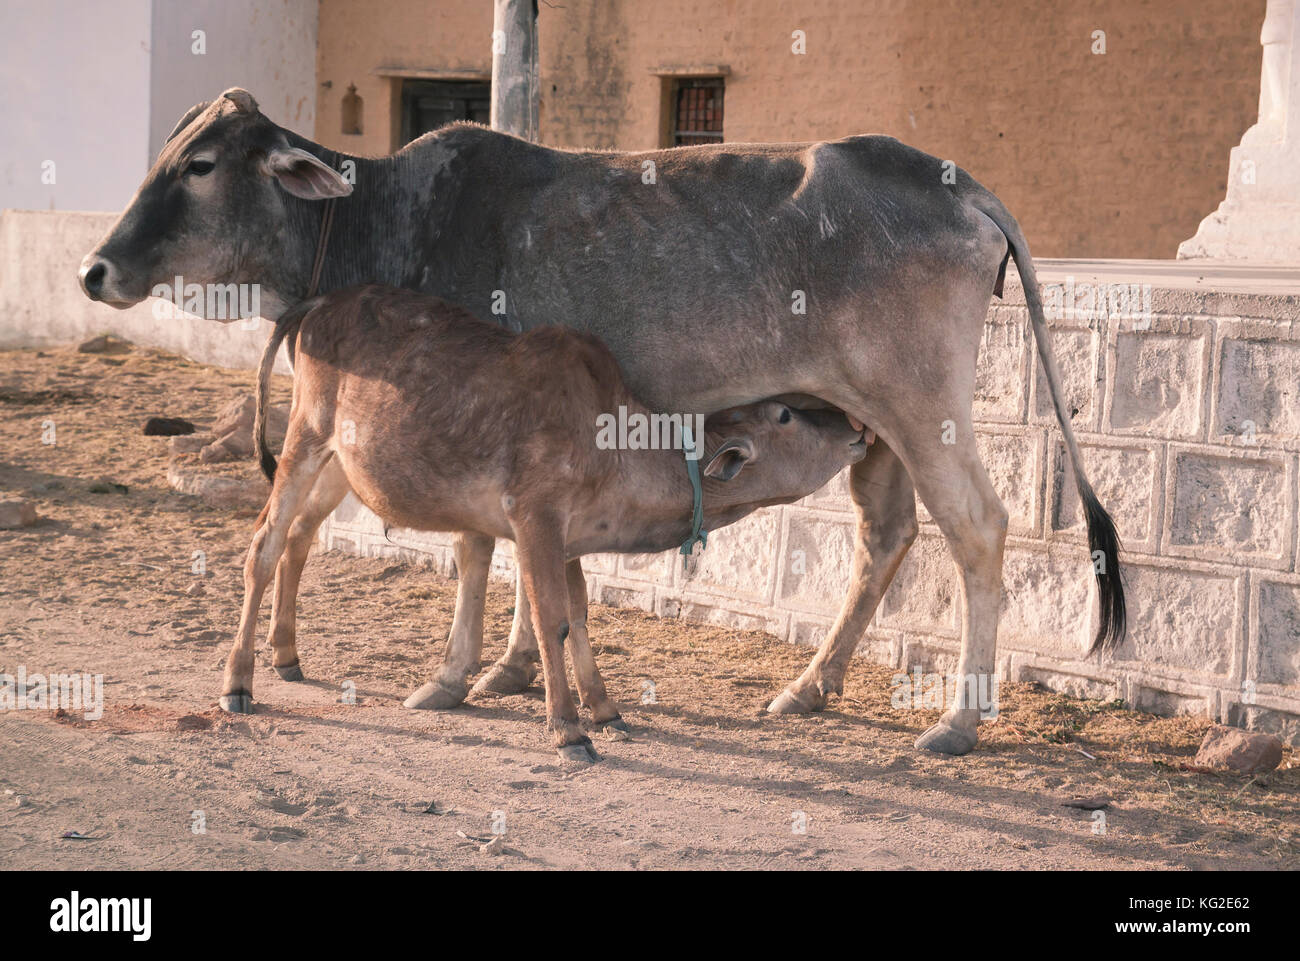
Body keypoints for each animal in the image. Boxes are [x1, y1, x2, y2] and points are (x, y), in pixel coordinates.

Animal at [234, 284, 869, 761]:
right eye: (784, 414)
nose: (857, 427)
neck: (616, 438)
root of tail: (324, 299)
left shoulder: (571, 537)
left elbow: (581, 614)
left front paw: (605, 707)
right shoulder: (535, 517)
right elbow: (549, 620)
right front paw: (568, 728)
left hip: (343, 464)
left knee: (299, 537)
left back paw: (286, 655)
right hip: (306, 435)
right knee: (264, 543)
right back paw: (238, 683)